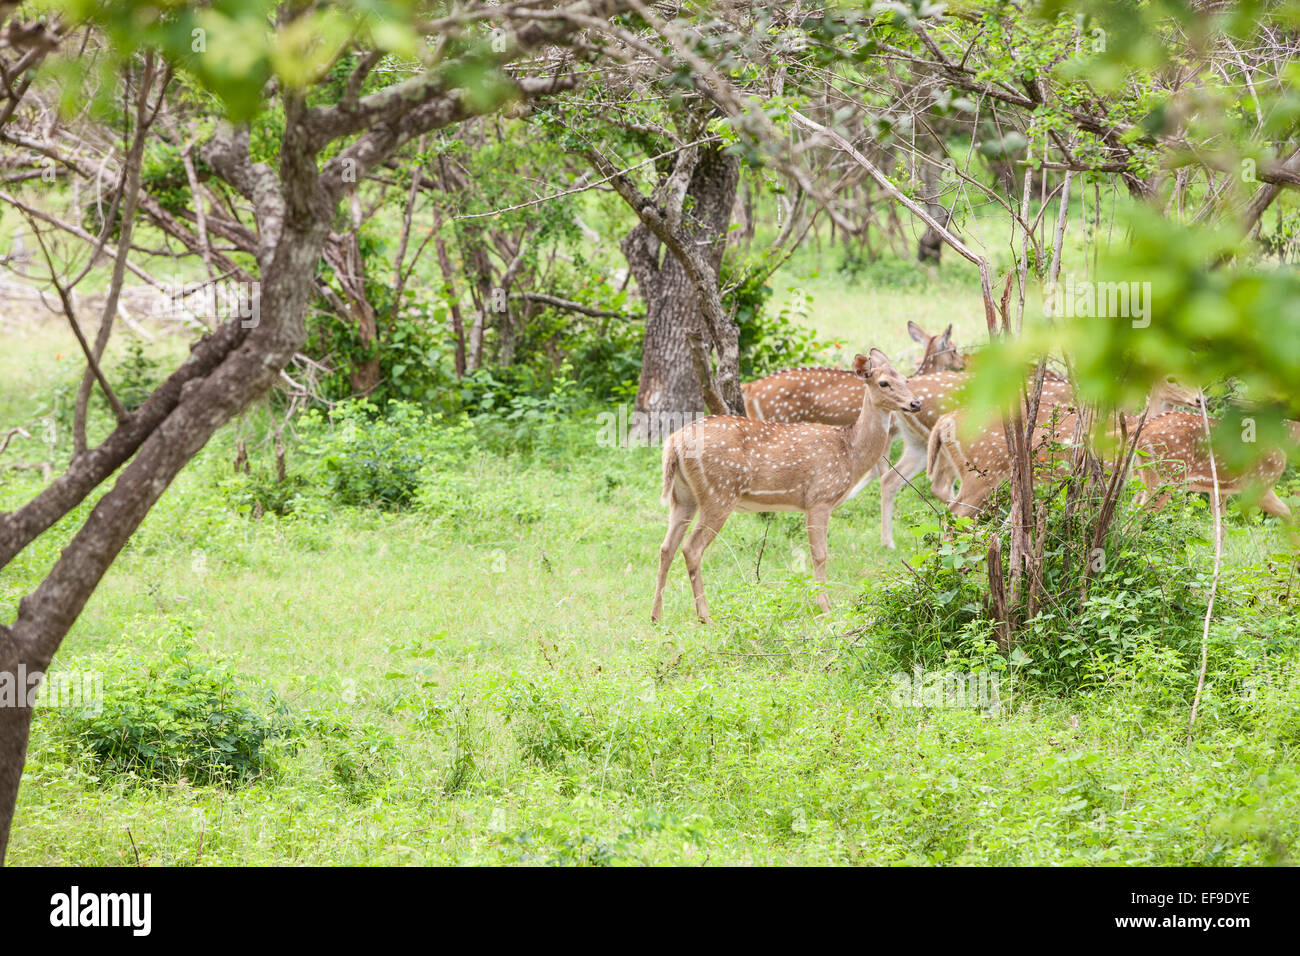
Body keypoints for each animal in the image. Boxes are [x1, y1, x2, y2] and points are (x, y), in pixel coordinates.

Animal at [652, 350, 921, 624]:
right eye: (884, 383)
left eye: (905, 379)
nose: (915, 404)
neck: (849, 453)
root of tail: (674, 443)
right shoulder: (819, 498)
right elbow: (820, 554)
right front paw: (826, 608)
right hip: (719, 492)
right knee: (691, 548)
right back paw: (705, 616)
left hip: (683, 497)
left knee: (666, 547)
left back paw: (656, 616)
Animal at [927, 377, 1203, 520]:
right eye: (1171, 378)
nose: (1201, 399)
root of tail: (946, 422)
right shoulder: (1100, 473)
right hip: (982, 471)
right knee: (955, 512)